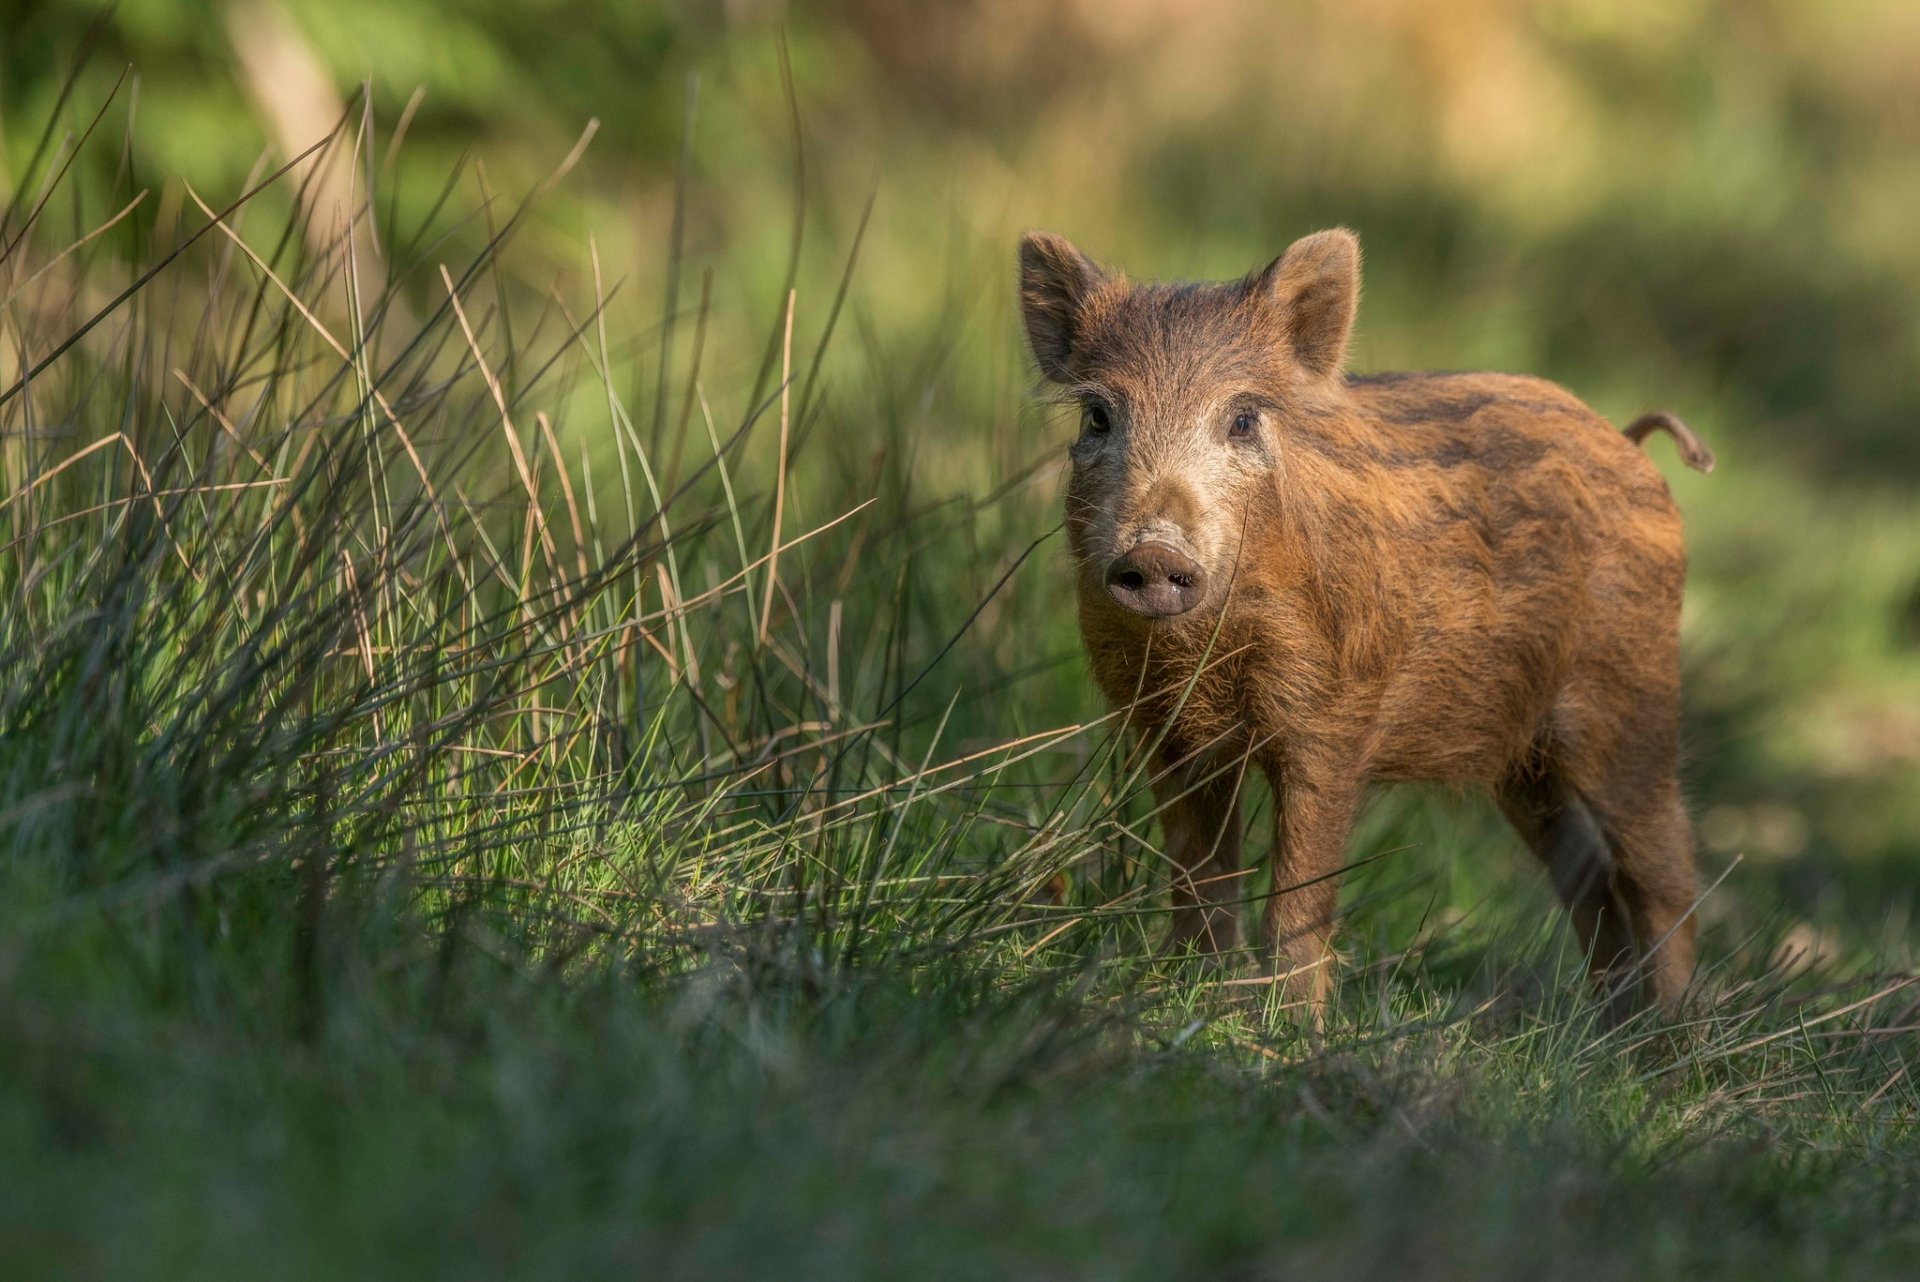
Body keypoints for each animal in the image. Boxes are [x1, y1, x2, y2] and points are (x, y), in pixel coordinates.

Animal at [1018, 228, 1713, 1022]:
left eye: (1243, 419)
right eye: (1099, 416)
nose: (1154, 553)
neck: (1208, 647)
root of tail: (1633, 448)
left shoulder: (1330, 722)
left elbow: (1299, 895)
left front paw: (1287, 1028)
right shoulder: (1166, 730)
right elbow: (1199, 875)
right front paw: (1183, 993)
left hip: (1629, 708)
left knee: (1665, 874)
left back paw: (1672, 1037)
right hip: (1525, 765)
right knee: (1588, 874)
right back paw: (1609, 1030)